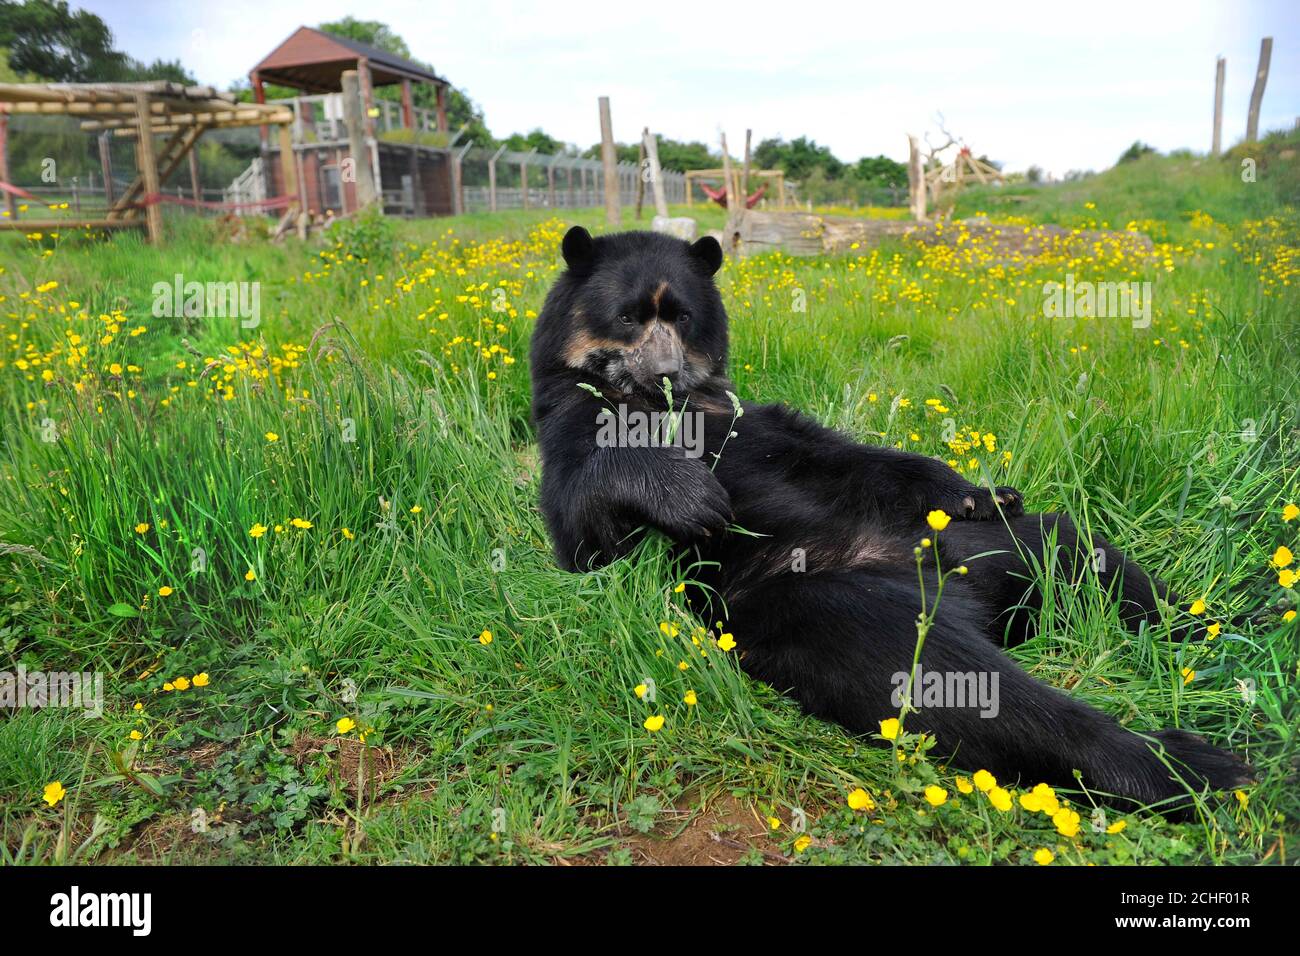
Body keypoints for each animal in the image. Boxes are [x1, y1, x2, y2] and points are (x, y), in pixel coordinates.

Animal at [530, 225, 1251, 813]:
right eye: (628, 318)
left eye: (681, 317)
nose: (666, 373)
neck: (675, 408)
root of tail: (954, 595)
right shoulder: (573, 425)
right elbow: (587, 518)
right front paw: (695, 499)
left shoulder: (754, 421)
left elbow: (848, 457)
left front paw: (981, 490)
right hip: (822, 608)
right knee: (967, 682)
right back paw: (1191, 766)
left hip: (981, 550)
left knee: (1077, 552)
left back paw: (1222, 633)